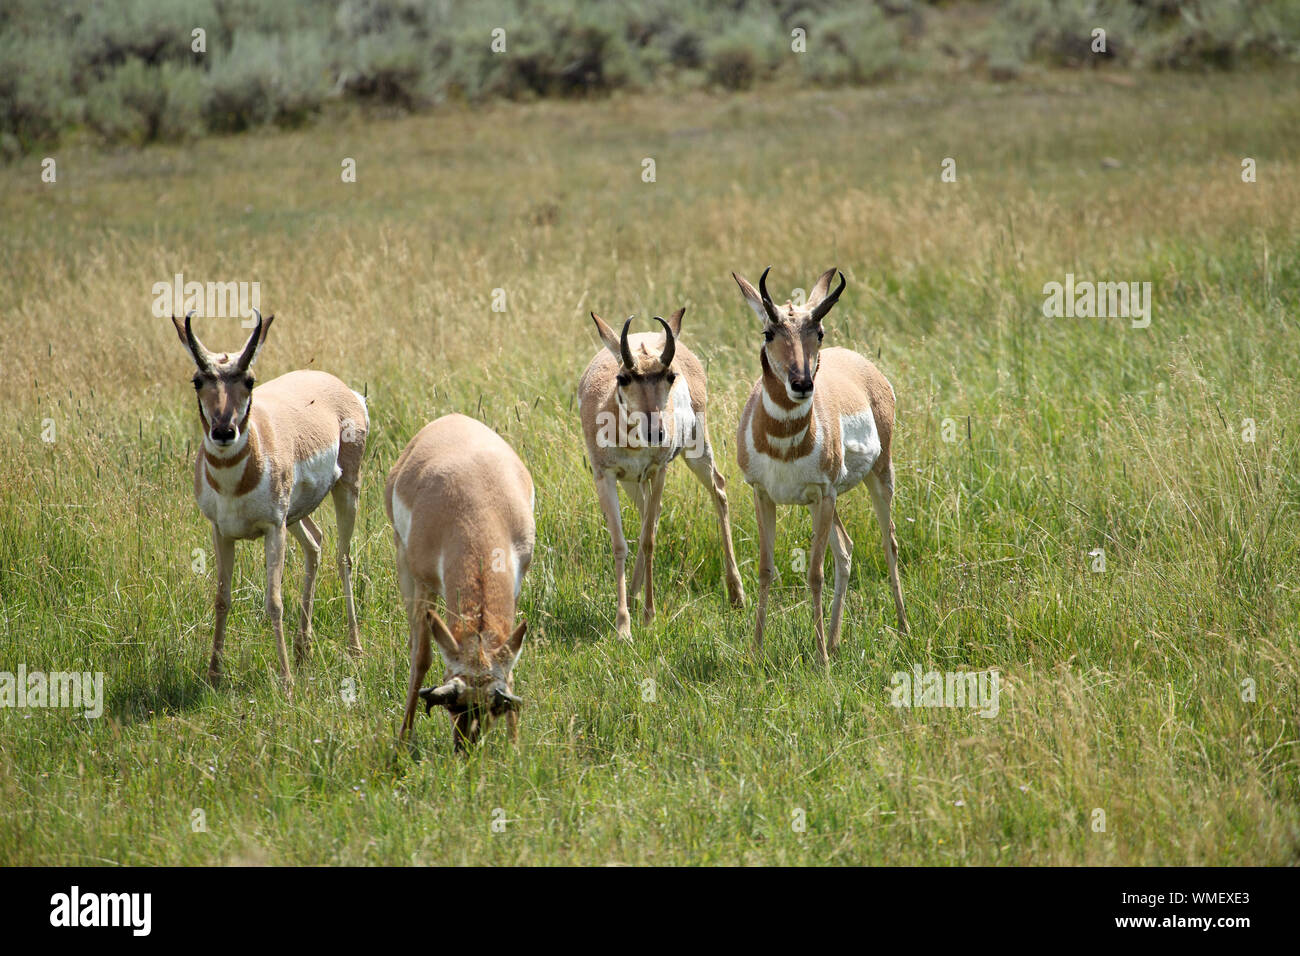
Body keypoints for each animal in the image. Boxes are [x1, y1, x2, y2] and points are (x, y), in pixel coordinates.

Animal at [171, 310, 368, 691]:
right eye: (198, 380)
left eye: (249, 380)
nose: (223, 431)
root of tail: (339, 386)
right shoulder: (221, 532)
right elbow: (222, 598)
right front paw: (213, 675)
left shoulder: (273, 529)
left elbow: (274, 602)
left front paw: (287, 682)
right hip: (296, 514)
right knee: (315, 544)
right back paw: (304, 648)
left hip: (346, 489)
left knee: (344, 557)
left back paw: (354, 650)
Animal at [386, 414, 534, 750]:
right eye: (451, 703)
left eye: (495, 706)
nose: (465, 748)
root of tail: (453, 418)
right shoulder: (424, 584)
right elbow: (422, 657)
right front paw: (403, 738)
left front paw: (515, 745)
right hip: (404, 565)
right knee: (414, 642)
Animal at [578, 309, 744, 639]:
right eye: (623, 377)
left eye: (669, 376)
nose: (657, 432)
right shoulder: (606, 477)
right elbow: (620, 543)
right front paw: (623, 626)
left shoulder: (659, 471)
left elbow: (649, 541)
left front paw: (648, 617)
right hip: (633, 483)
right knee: (649, 516)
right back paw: (632, 594)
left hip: (696, 450)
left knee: (718, 490)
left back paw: (737, 596)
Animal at [732, 267, 909, 664]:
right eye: (769, 332)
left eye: (819, 332)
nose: (802, 383)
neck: (783, 442)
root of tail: (864, 365)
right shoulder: (763, 494)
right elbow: (765, 569)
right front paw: (756, 651)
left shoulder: (823, 493)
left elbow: (814, 574)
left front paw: (821, 661)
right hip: (824, 504)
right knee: (845, 548)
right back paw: (834, 639)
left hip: (877, 476)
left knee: (888, 541)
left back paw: (903, 629)